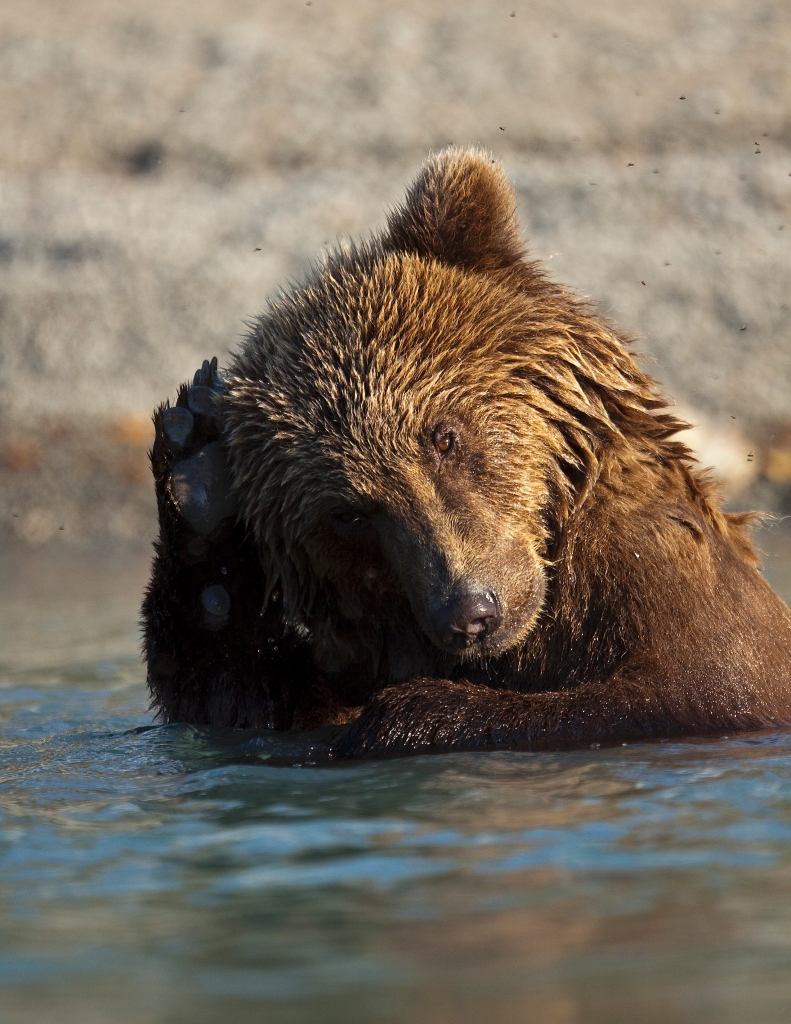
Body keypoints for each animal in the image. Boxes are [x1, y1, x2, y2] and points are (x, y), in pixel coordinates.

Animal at [142, 147, 791, 757]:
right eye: (348, 514)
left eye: (444, 437)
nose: (469, 611)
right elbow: (244, 700)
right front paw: (196, 466)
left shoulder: (676, 598)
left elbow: (681, 693)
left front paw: (406, 715)